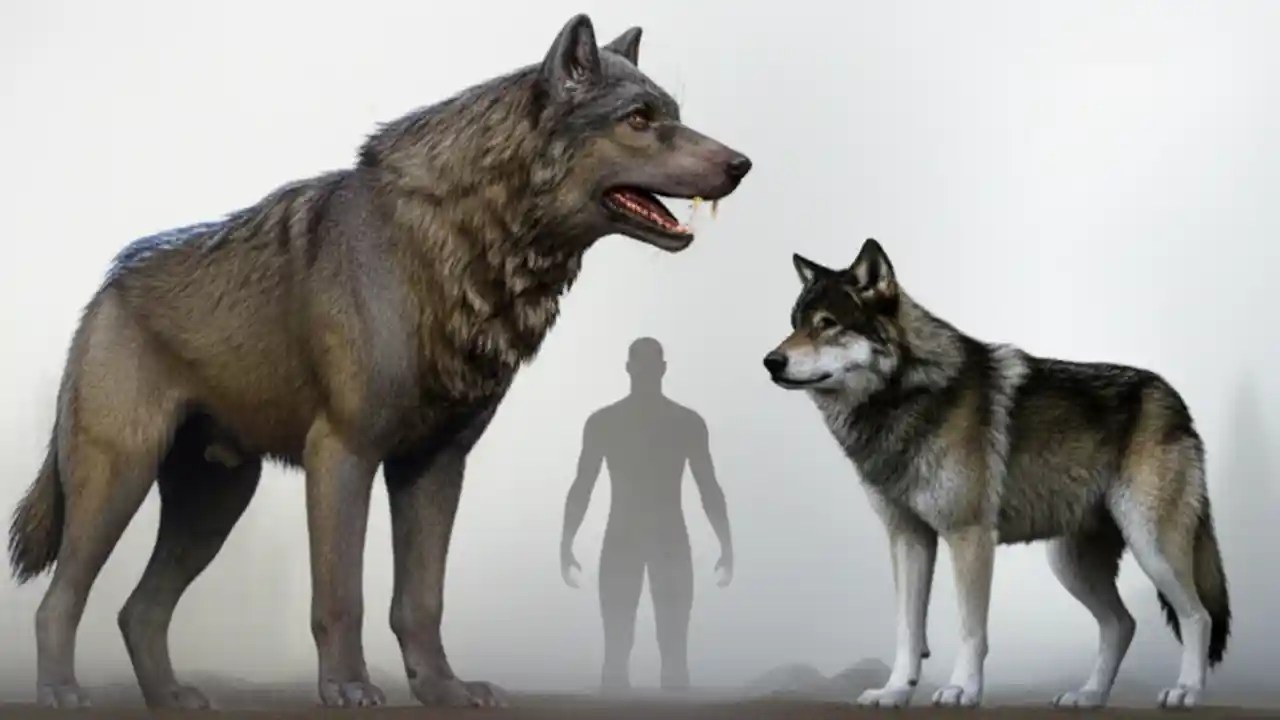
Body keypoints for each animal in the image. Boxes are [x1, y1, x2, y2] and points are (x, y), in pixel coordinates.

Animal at [7, 14, 750, 711]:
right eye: (640, 120)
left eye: (673, 114)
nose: (742, 164)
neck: (464, 249)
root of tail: (106, 287)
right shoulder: (343, 454)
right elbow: (343, 596)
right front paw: (347, 687)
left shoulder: (435, 465)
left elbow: (421, 601)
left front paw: (443, 690)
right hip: (119, 481)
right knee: (58, 601)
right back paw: (61, 693)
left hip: (216, 502)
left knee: (138, 611)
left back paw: (171, 699)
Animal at [763, 239, 1229, 710]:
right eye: (795, 324)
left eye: (827, 324)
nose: (770, 361)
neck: (904, 399)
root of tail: (1175, 400)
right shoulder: (908, 538)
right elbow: (907, 629)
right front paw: (894, 691)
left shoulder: (968, 536)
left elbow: (971, 629)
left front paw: (962, 689)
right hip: (1071, 565)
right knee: (1121, 624)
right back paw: (1089, 695)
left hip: (1151, 546)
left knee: (1197, 615)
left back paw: (1186, 690)